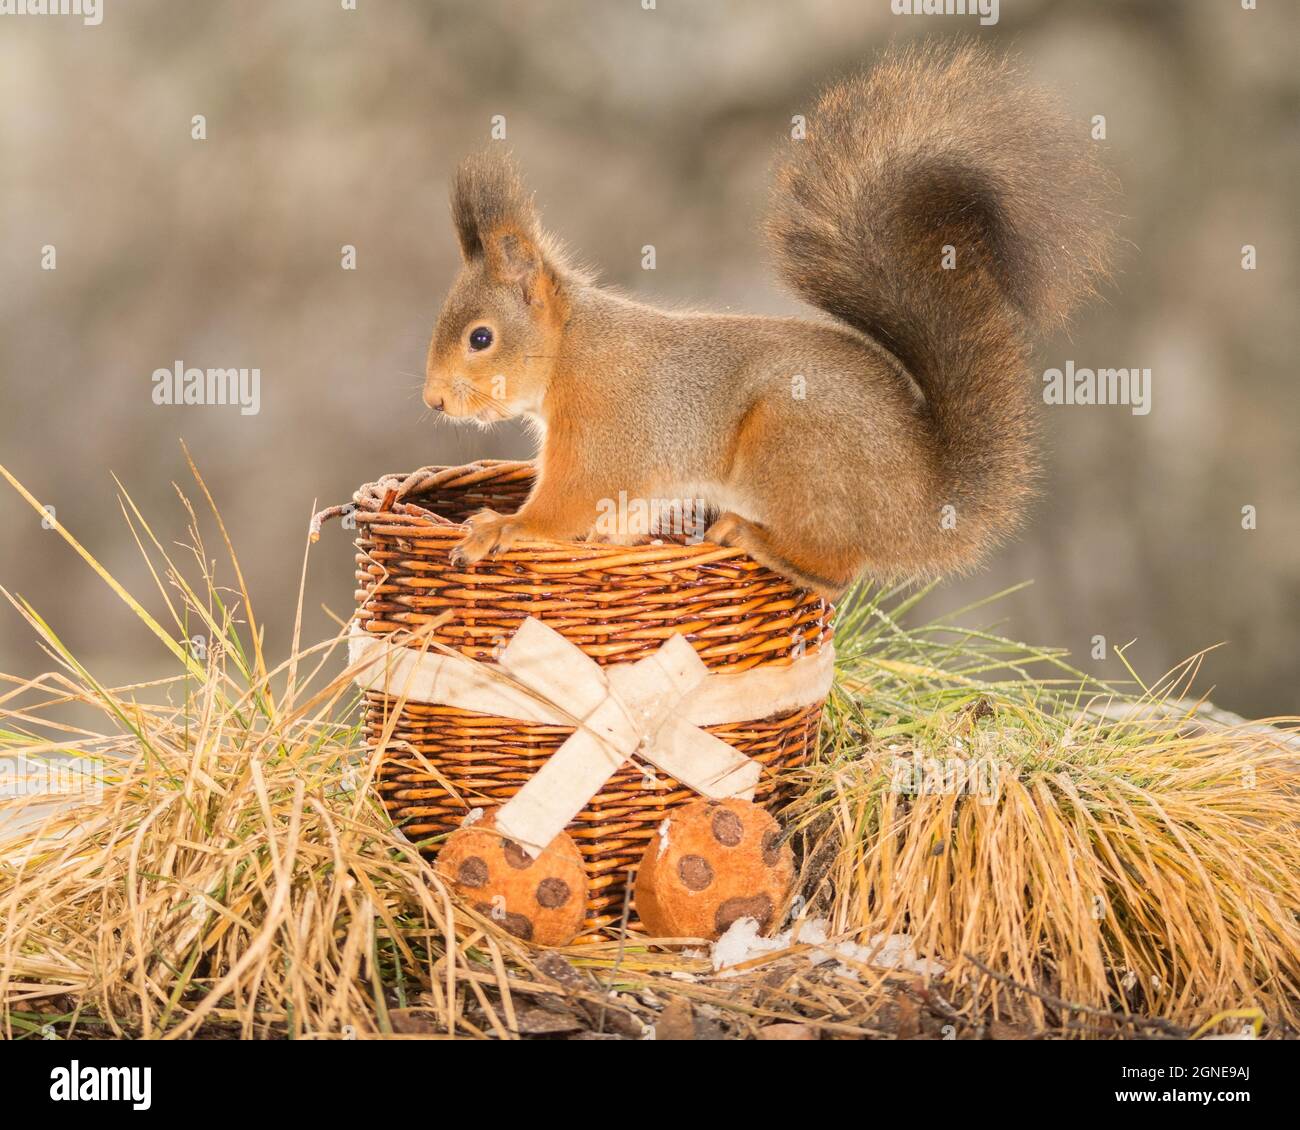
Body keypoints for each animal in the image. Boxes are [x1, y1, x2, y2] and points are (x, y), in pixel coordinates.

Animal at [424, 43, 1117, 598]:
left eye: (481, 338)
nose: (433, 402)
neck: (570, 350)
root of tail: (920, 505)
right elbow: (622, 514)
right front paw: (603, 545)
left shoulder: (605, 427)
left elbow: (567, 501)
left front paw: (503, 527)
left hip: (791, 444)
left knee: (834, 571)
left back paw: (751, 537)